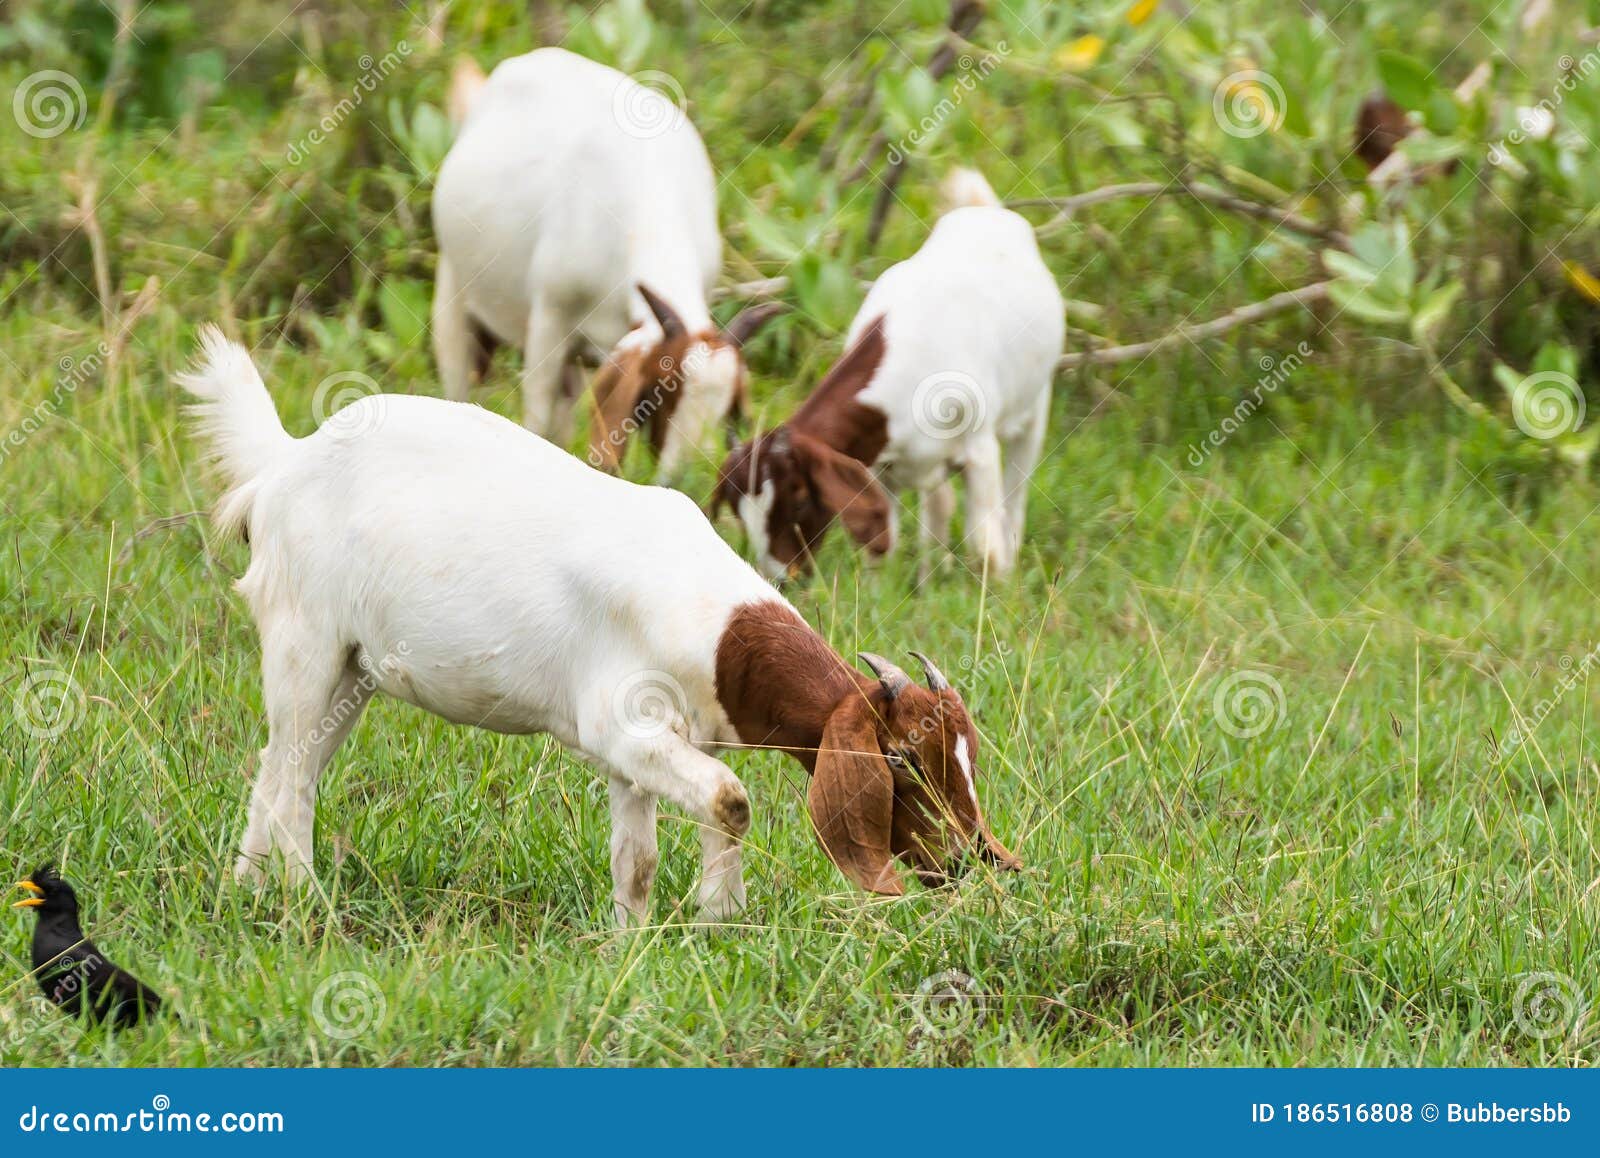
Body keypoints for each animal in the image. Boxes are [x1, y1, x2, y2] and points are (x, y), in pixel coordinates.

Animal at [178, 327, 1020, 925]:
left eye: (968, 755)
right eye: (903, 762)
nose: (963, 861)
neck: (721, 633)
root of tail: (285, 462)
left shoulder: (637, 755)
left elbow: (636, 859)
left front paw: (630, 939)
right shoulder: (624, 722)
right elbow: (732, 799)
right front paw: (719, 916)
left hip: (354, 668)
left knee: (283, 764)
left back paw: (249, 891)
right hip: (304, 633)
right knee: (291, 773)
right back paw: (303, 903)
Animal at [432, 49, 779, 481]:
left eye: (728, 408)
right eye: (661, 390)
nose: (686, 476)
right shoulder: (550, 317)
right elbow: (537, 413)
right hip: (453, 280)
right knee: (456, 371)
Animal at [712, 169, 1064, 580]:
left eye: (798, 498)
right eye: (739, 512)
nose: (783, 578)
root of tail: (981, 210)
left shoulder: (980, 450)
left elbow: (984, 546)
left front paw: (1000, 587)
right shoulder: (879, 465)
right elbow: (882, 549)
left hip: (1035, 402)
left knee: (1016, 490)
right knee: (939, 502)